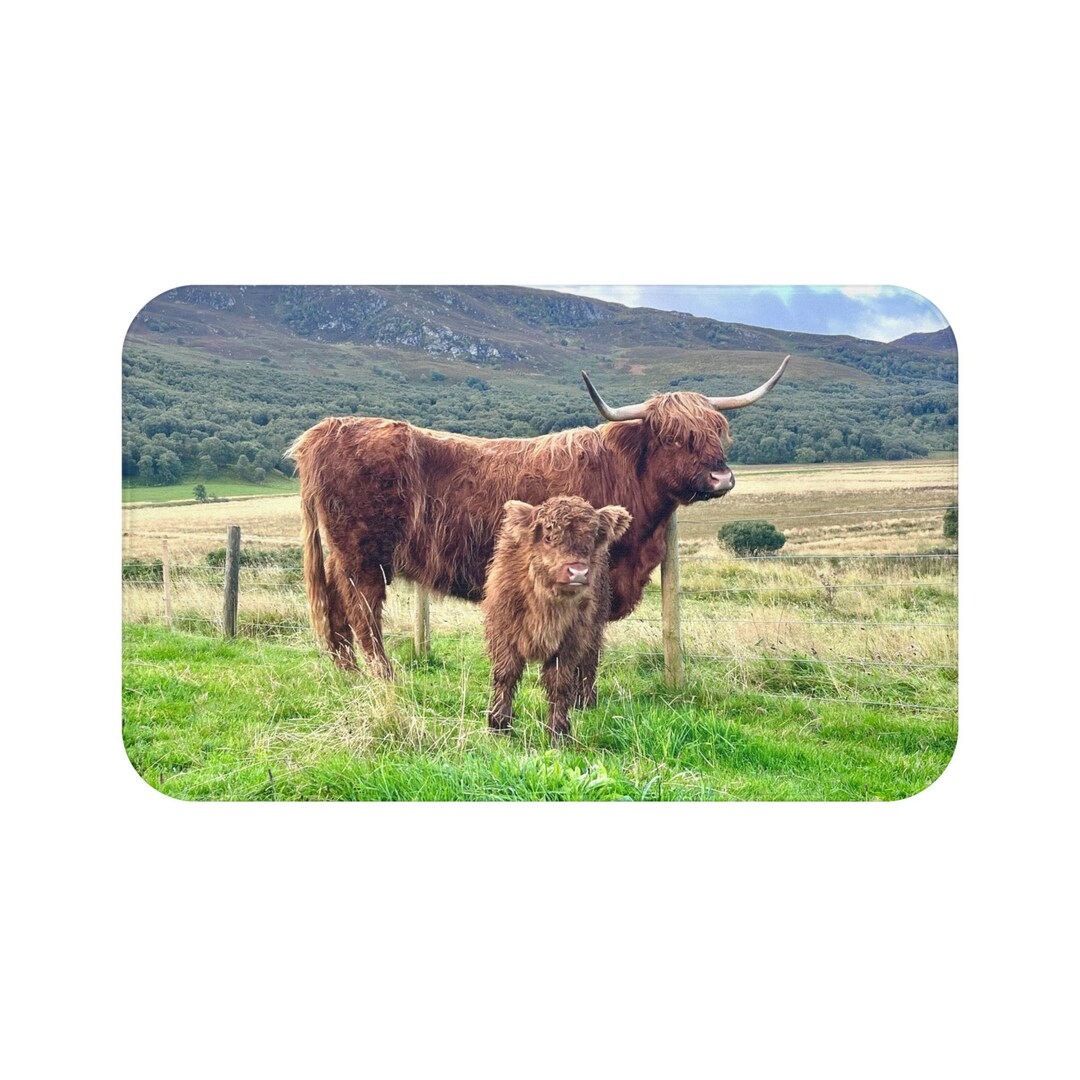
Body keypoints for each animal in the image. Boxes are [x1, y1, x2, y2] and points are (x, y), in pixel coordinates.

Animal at [286, 356, 789, 681]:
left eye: (718, 431)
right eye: (673, 436)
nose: (722, 477)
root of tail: (324, 430)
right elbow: (584, 649)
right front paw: (581, 697)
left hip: (344, 552)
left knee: (336, 608)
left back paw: (348, 673)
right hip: (363, 553)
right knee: (363, 610)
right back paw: (385, 677)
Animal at [483, 496, 632, 740]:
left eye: (591, 539)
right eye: (549, 537)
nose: (578, 572)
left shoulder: (571, 640)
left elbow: (559, 683)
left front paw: (558, 732)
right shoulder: (503, 632)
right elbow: (505, 675)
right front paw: (499, 724)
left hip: (594, 629)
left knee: (588, 665)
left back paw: (585, 702)